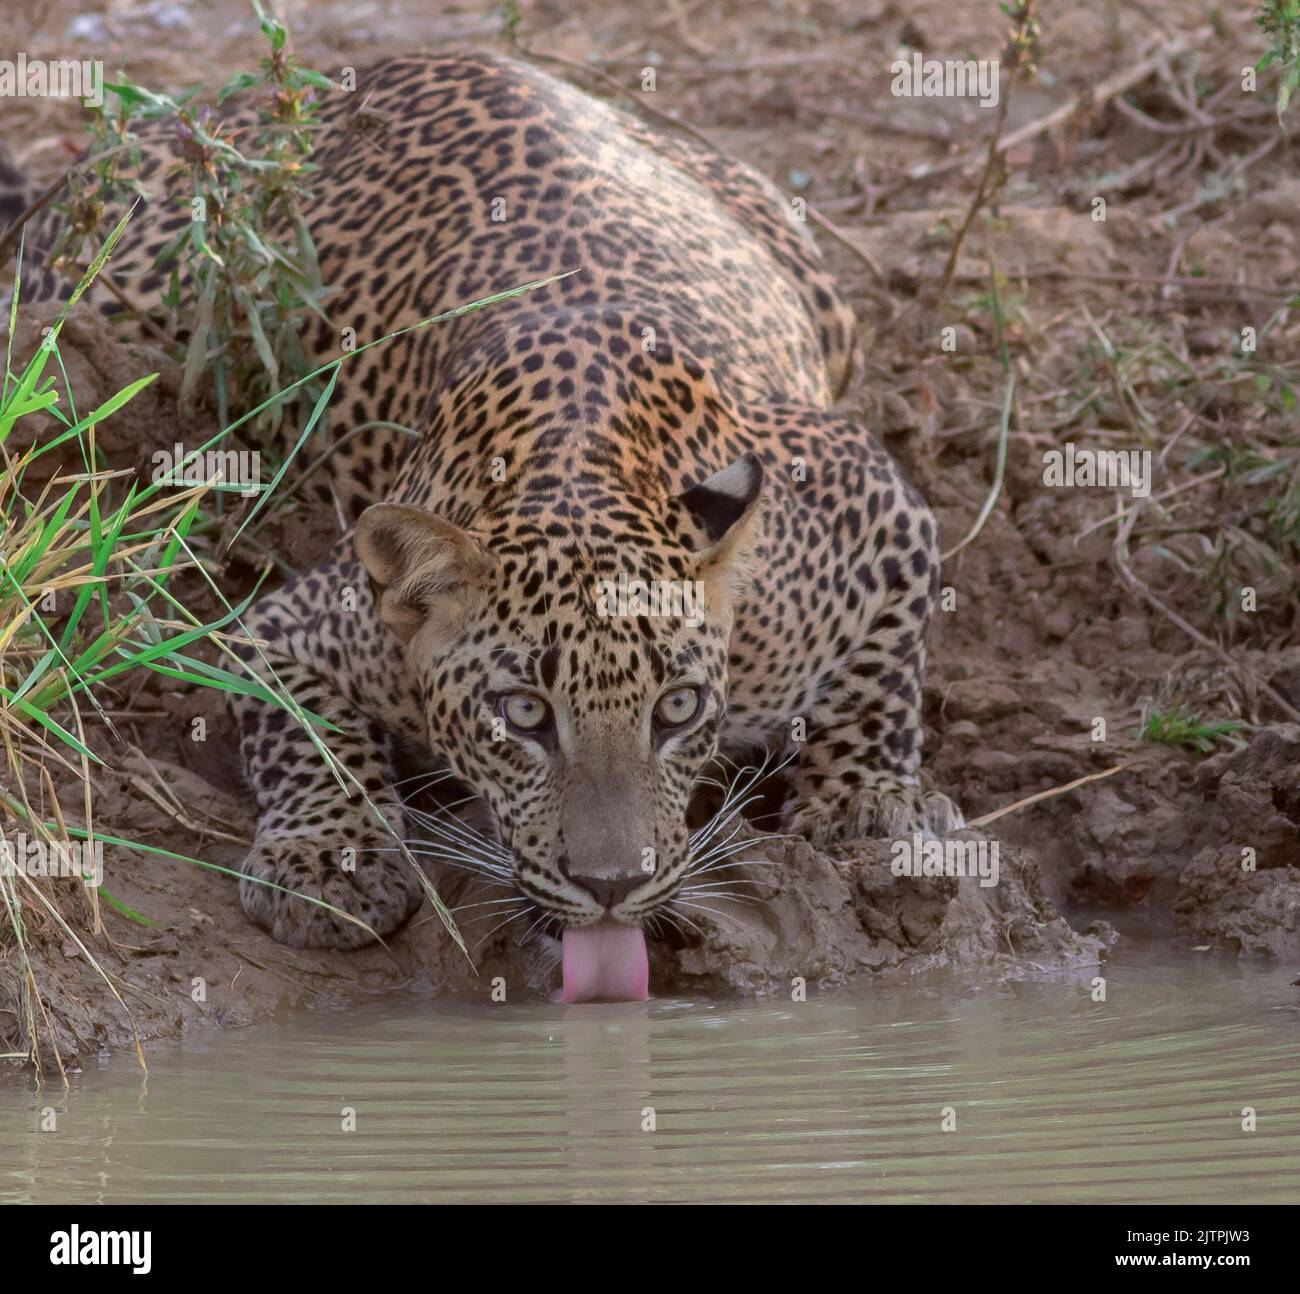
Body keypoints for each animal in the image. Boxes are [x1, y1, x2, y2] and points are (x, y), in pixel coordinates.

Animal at [16, 52, 961, 961]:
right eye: (524, 715)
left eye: (679, 709)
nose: (612, 886)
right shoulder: (293, 628)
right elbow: (309, 736)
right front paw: (328, 859)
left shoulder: (866, 496)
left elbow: (885, 672)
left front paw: (867, 804)